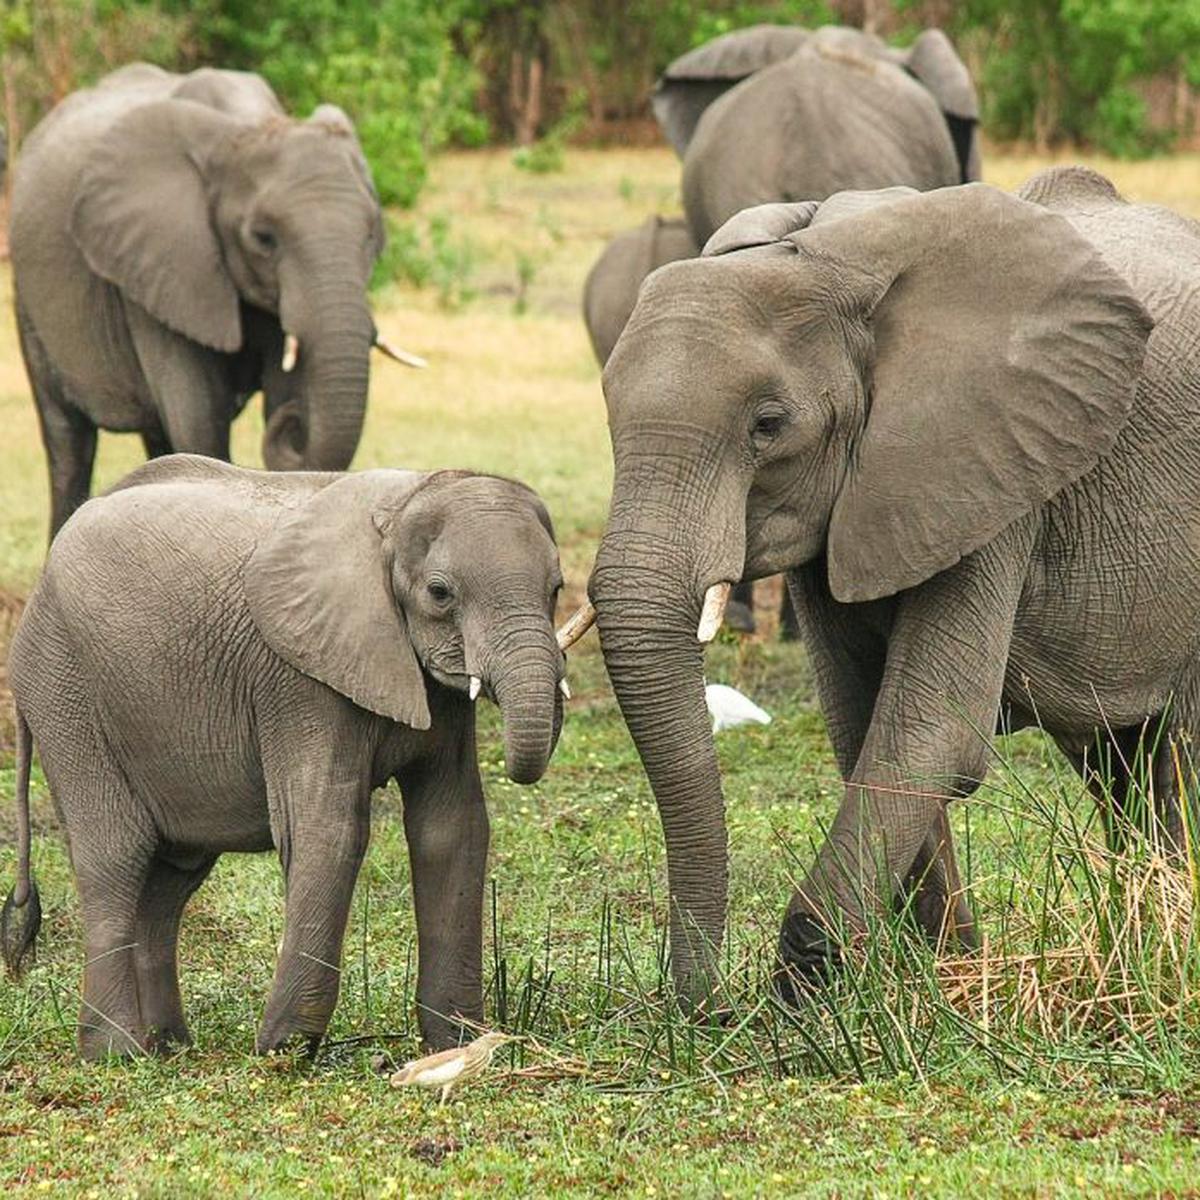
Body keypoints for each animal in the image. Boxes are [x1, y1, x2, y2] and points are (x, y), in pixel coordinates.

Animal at [1, 454, 568, 1059]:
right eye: (440, 593)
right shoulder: (299, 680)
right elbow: (329, 829)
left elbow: (452, 828)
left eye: (556, 589)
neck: (405, 503)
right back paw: (117, 1054)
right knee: (116, 856)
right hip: (64, 688)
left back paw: (169, 1047)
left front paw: (457, 1045)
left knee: (171, 877)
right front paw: (283, 1051)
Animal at [10, 63, 419, 542]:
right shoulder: (161, 265)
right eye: (263, 238)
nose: (295, 424)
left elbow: (279, 390)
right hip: (28, 300)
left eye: (372, 233)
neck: (248, 125)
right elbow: (198, 417)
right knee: (68, 443)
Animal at [557, 166, 1200, 1007]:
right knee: (1124, 764)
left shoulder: (990, 470)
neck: (827, 263)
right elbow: (863, 723)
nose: (708, 1010)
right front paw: (943, 977)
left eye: (768, 425)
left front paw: (806, 992)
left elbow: (930, 731)